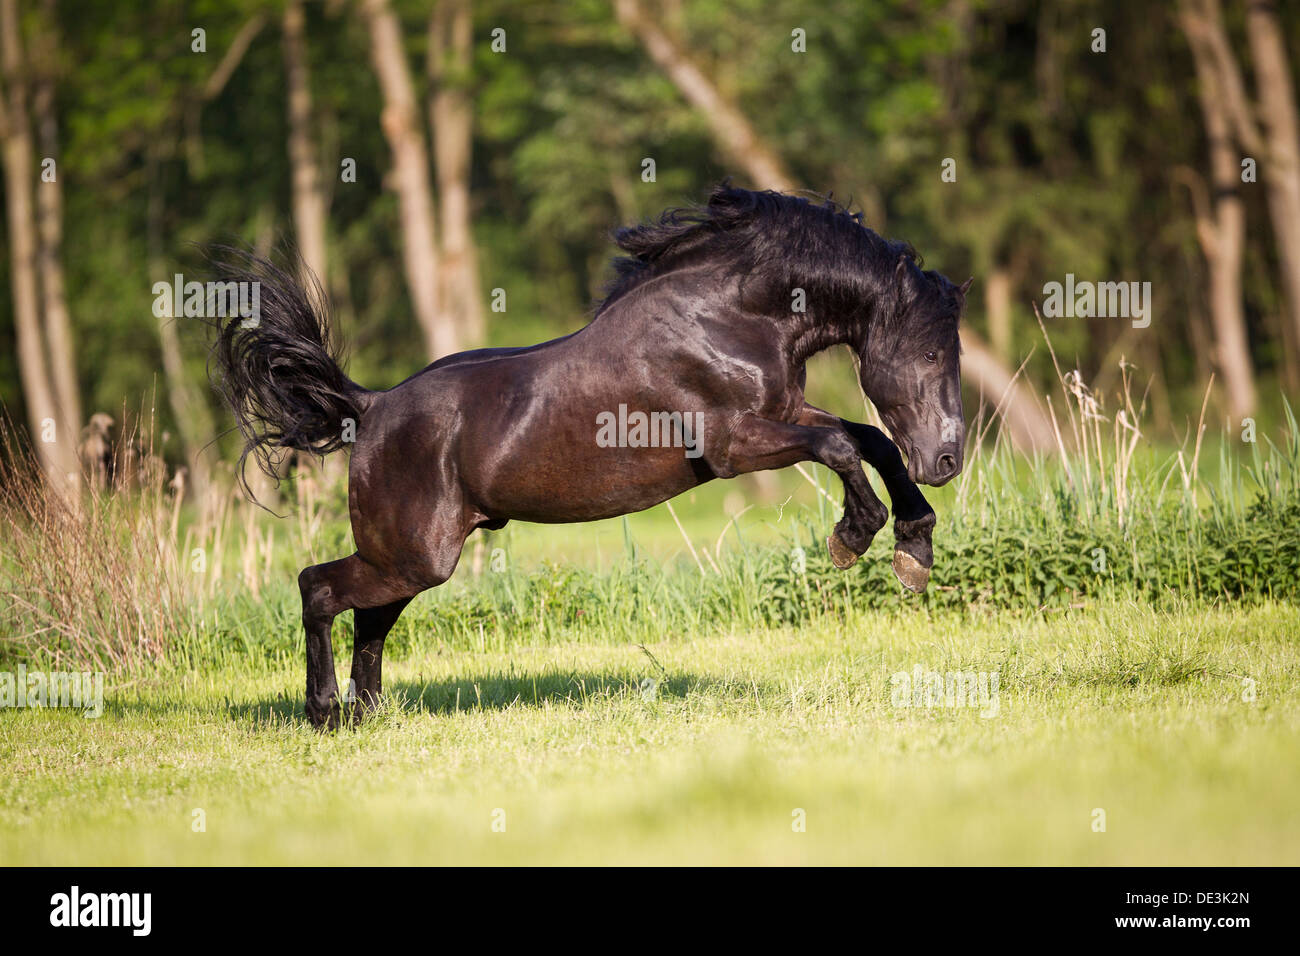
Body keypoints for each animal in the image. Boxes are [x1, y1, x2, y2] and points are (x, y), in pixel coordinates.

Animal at [206, 184, 968, 729]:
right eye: (932, 350)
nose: (948, 460)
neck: (727, 316)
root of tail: (369, 408)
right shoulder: (731, 444)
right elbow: (842, 444)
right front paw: (854, 535)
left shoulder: (785, 413)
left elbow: (868, 439)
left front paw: (915, 547)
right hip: (410, 555)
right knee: (318, 588)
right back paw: (324, 713)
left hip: (411, 560)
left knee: (367, 618)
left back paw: (367, 715)